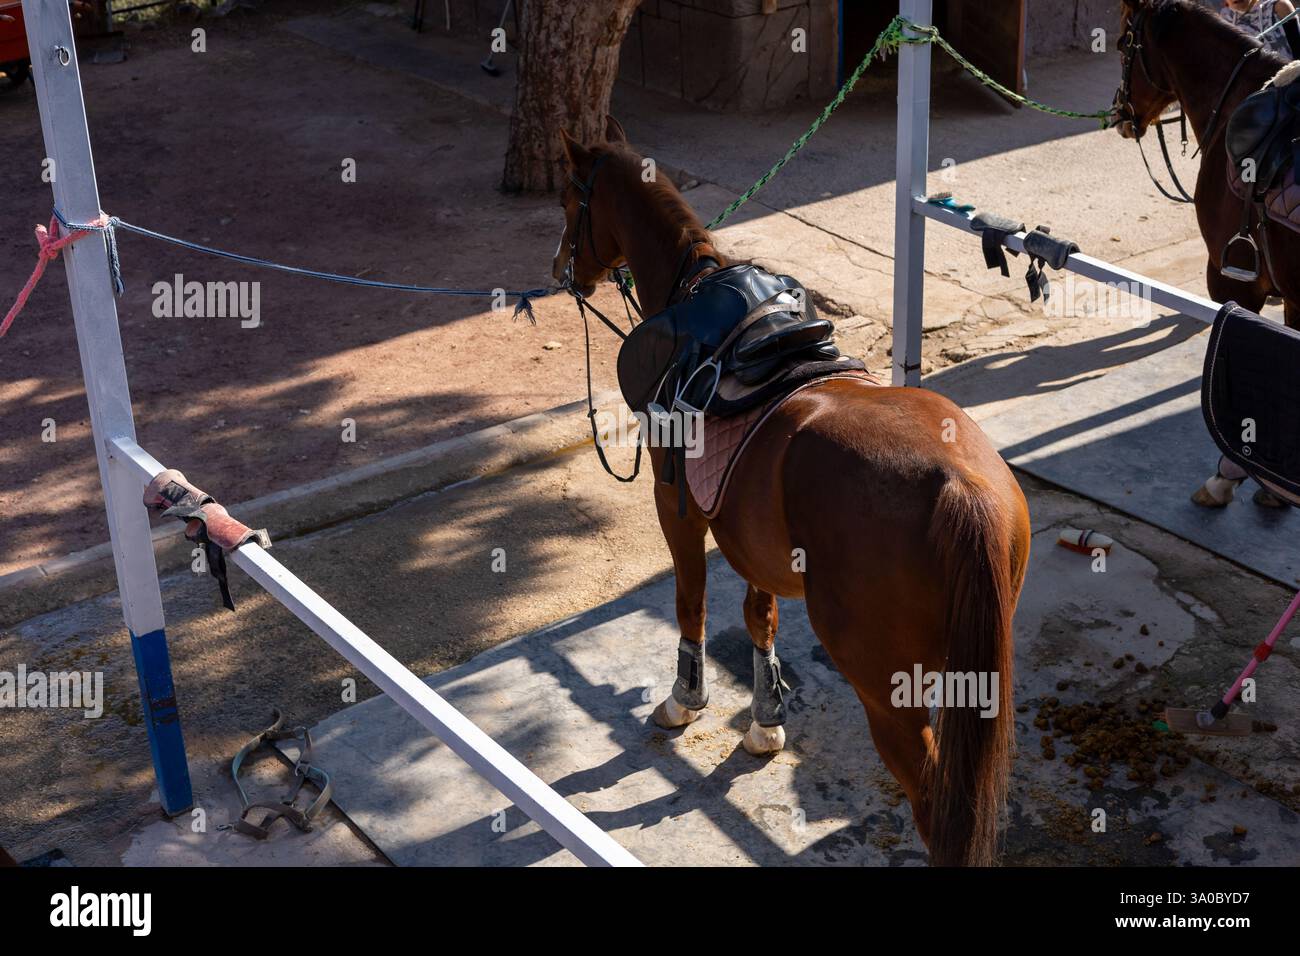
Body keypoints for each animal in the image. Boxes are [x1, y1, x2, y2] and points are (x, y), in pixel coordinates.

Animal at [551, 118, 1032, 866]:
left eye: (572, 201)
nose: (560, 270)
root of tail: (962, 490)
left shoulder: (676, 505)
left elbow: (690, 602)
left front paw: (684, 700)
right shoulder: (754, 537)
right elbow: (759, 615)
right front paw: (766, 718)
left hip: (888, 690)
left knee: (934, 804)